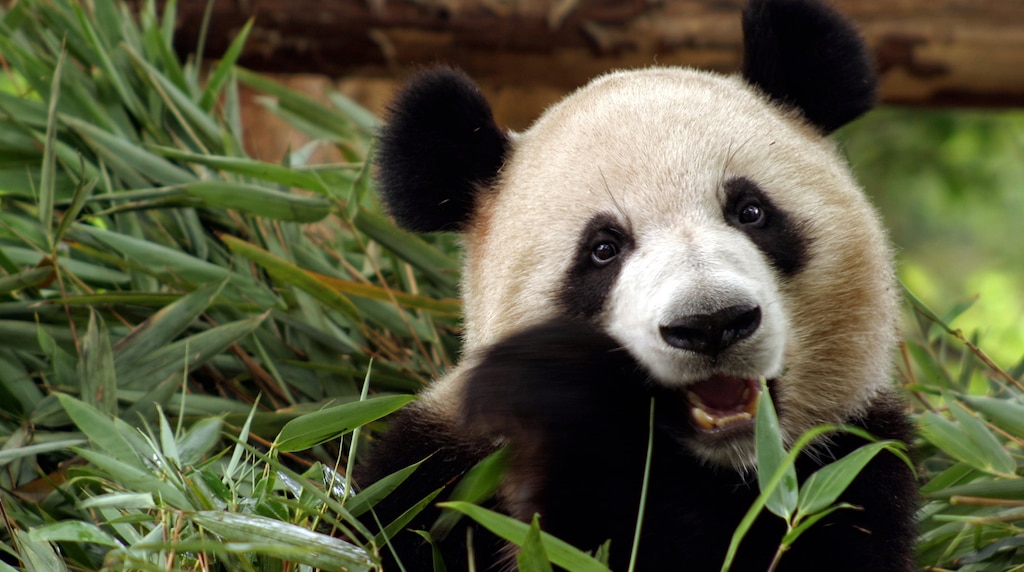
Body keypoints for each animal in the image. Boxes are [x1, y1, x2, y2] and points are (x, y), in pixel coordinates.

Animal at [357, 0, 918, 570]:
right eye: (603, 249)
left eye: (751, 211)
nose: (711, 323)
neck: (723, 467)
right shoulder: (438, 472)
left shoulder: (852, 464)